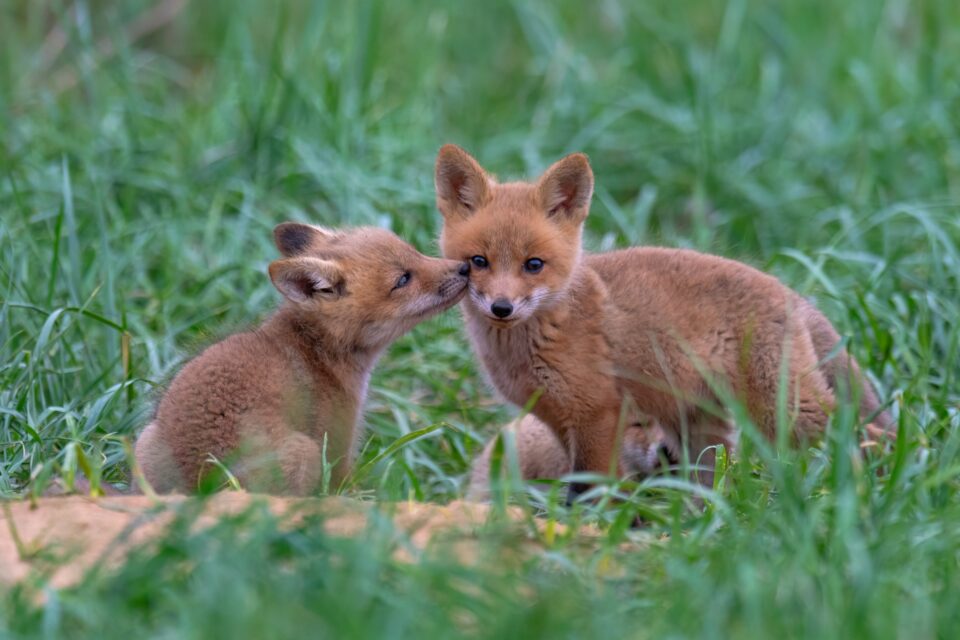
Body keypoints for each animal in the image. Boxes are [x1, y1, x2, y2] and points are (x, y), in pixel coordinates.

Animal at [135, 222, 469, 495]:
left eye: (415, 253)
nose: (466, 267)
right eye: (402, 279)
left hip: (143, 441)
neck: (316, 351)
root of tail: (198, 486)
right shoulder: (336, 444)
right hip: (305, 453)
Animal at [435, 144, 893, 494]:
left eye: (534, 265)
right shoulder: (558, 420)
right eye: (478, 262)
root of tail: (788, 289)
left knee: (859, 431)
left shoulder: (596, 414)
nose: (502, 308)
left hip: (784, 408)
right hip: (700, 428)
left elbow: (591, 487)